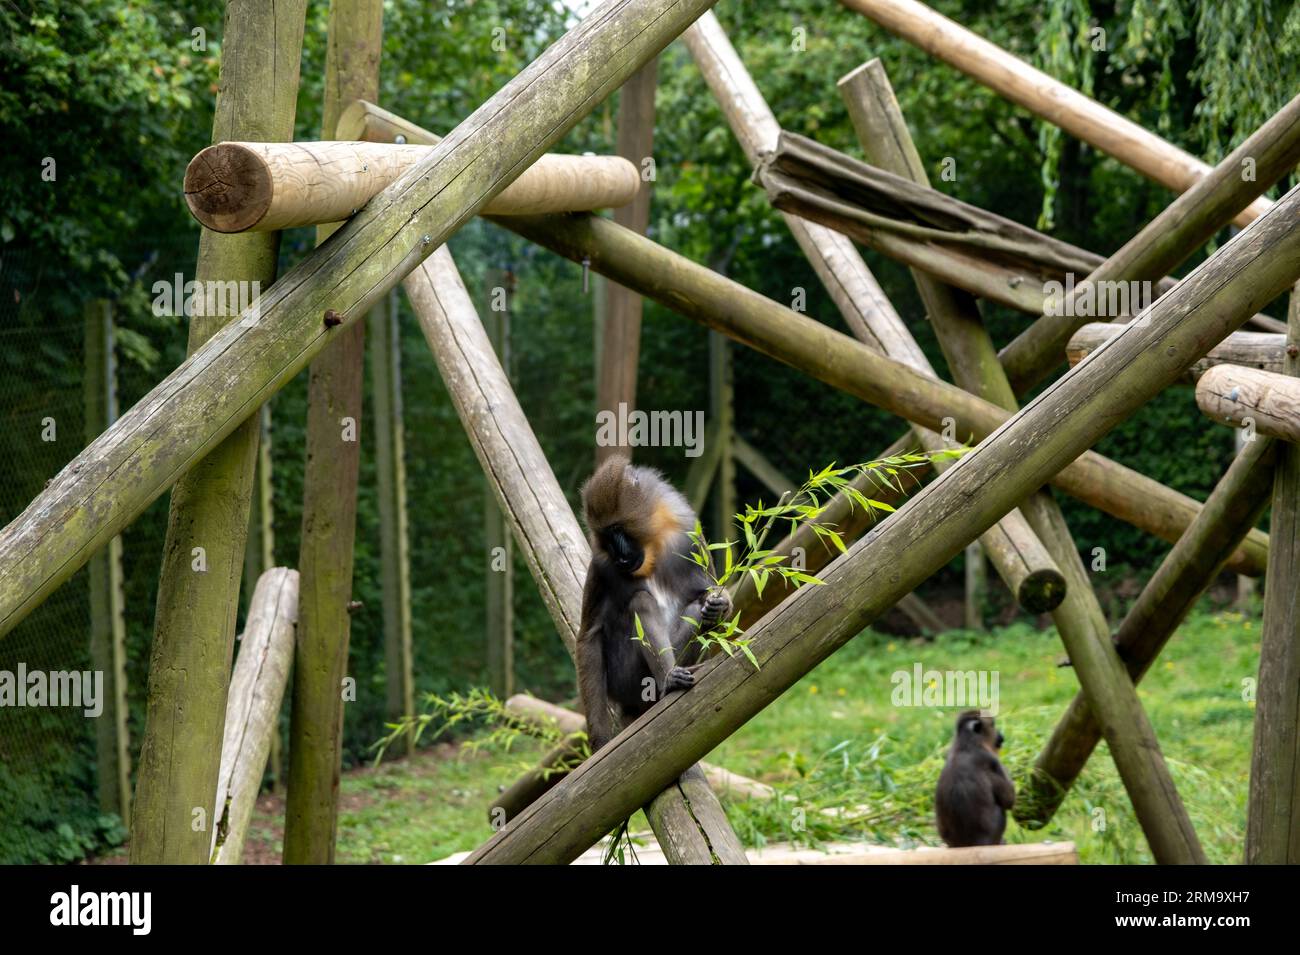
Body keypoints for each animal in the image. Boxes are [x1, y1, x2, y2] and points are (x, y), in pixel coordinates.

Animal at [577, 455, 732, 752]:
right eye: (606, 535)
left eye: (618, 529)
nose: (620, 556)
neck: (653, 544)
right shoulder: (600, 567)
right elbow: (589, 637)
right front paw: (599, 741)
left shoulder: (690, 537)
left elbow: (704, 593)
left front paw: (720, 605)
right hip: (626, 680)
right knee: (641, 601)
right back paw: (668, 679)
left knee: (695, 611)